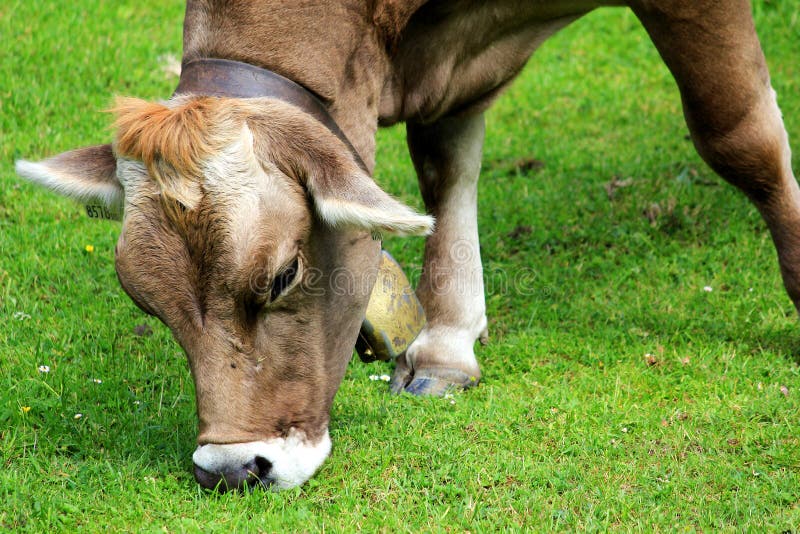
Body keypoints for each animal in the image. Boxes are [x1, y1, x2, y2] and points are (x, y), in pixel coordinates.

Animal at [16, 1, 798, 491]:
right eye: (146, 302)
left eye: (284, 274)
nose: (232, 470)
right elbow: (445, 162)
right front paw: (448, 342)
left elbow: (740, 136)